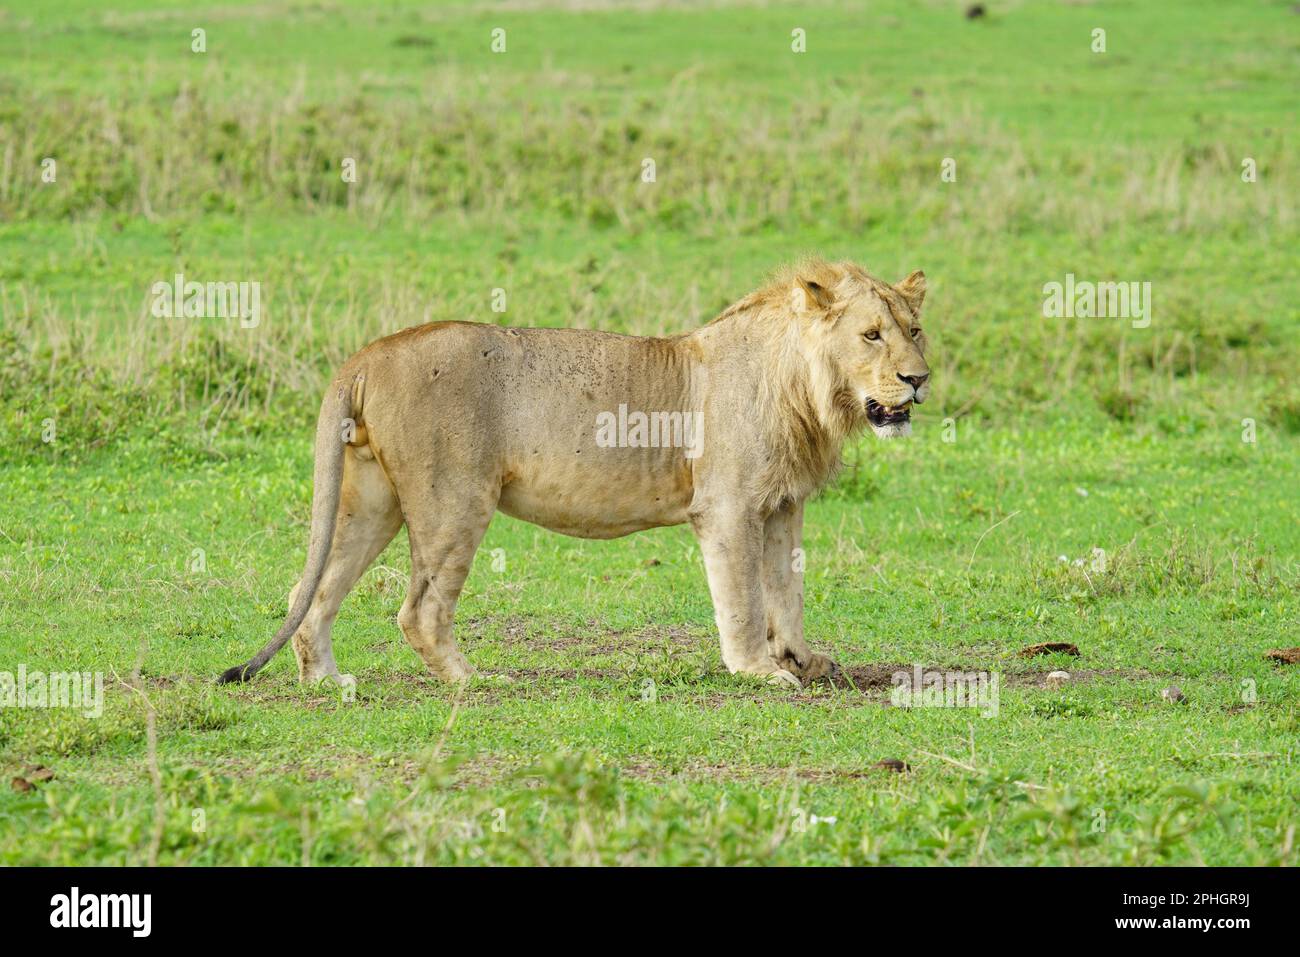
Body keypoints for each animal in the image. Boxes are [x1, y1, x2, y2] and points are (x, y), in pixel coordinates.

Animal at [217, 260, 930, 689]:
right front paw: (757, 670)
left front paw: (804, 661)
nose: (918, 379)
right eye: (871, 335)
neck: (809, 391)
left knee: (312, 591)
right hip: (455, 500)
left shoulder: (782, 505)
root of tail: (365, 354)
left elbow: (787, 589)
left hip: (373, 499)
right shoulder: (727, 507)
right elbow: (744, 599)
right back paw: (474, 681)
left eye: (916, 329)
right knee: (419, 611)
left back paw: (327, 682)